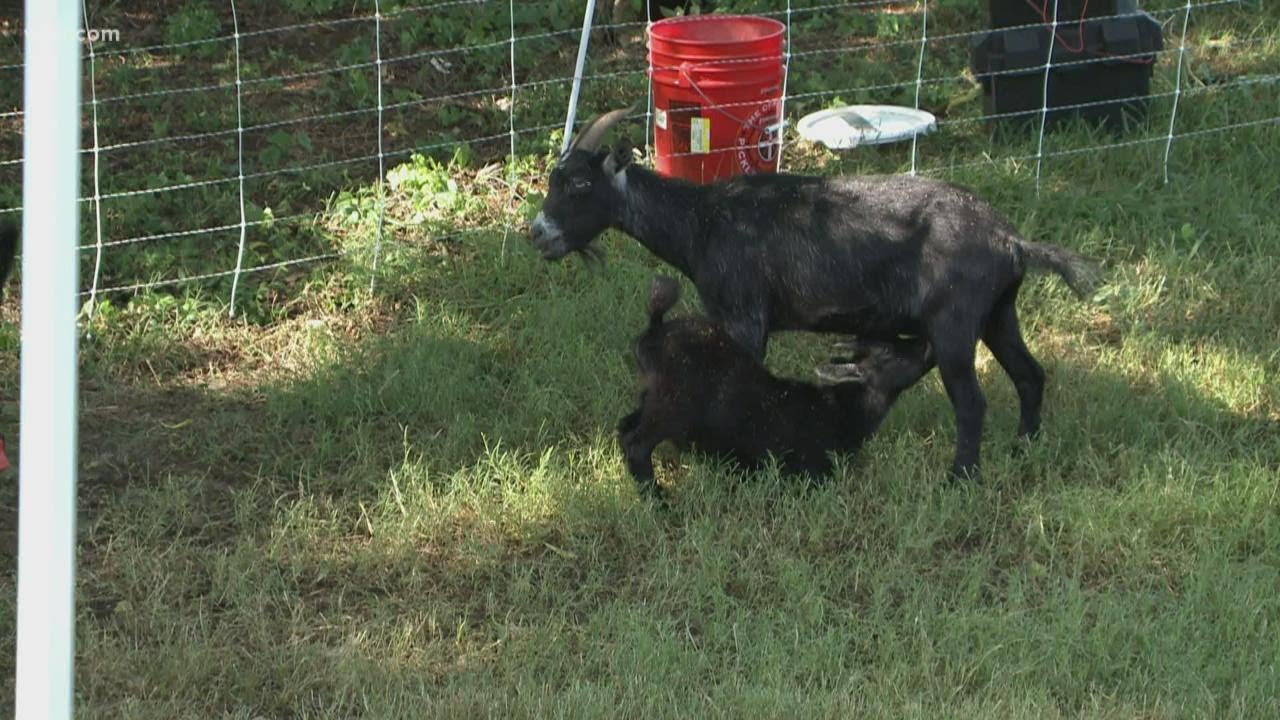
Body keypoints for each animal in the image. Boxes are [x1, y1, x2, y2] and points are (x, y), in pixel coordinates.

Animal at [619, 275, 935, 498]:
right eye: (889, 353)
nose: (927, 345)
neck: (839, 412)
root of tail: (654, 333)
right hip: (674, 405)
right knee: (637, 443)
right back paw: (658, 499)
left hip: (650, 397)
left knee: (625, 427)